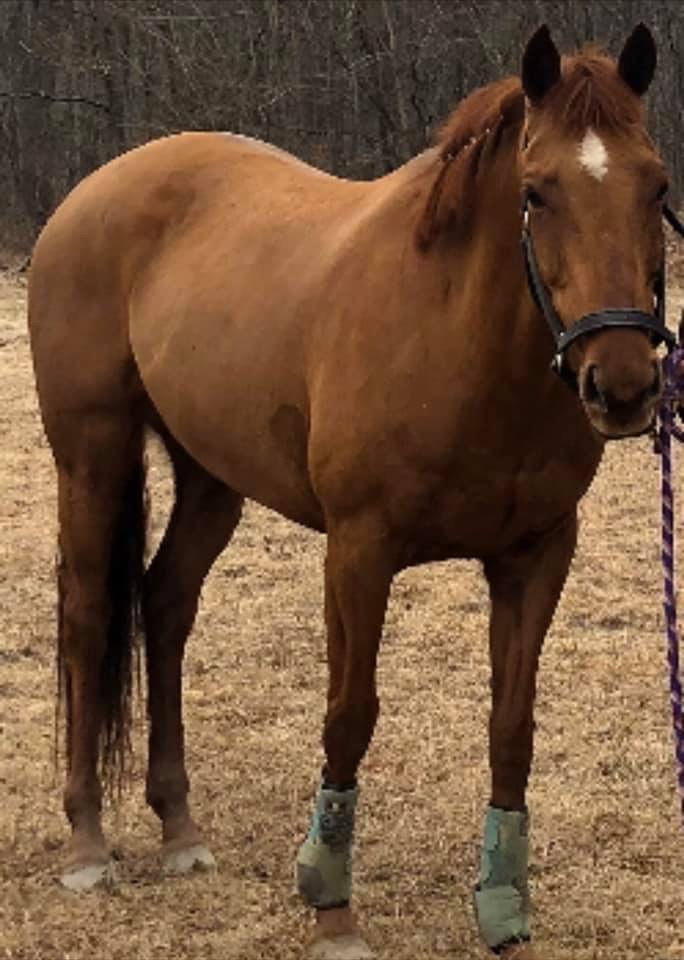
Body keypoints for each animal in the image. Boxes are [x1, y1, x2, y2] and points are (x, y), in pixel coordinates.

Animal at [27, 22, 676, 960]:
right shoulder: (359, 552)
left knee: (166, 605)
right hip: (92, 453)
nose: (621, 386)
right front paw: (330, 903)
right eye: (537, 192)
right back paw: (87, 842)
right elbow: (349, 714)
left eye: (656, 185)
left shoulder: (537, 555)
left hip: (212, 476)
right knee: (85, 620)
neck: (456, 336)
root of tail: (94, 190)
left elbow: (512, 724)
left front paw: (502, 904)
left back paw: (179, 828)